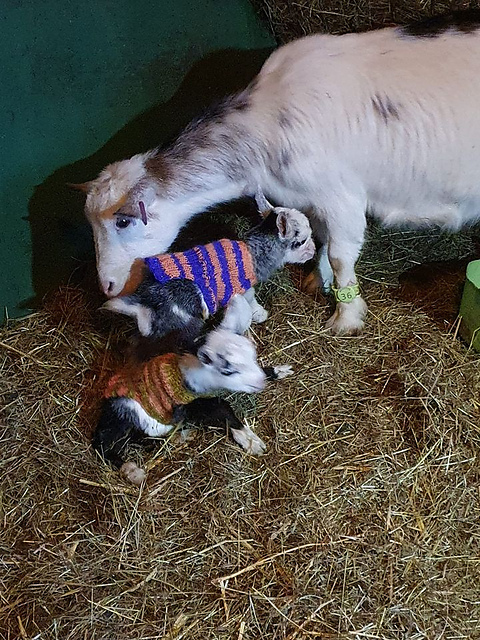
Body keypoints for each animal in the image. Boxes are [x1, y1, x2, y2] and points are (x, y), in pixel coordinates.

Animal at [93, 295, 292, 485]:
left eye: (253, 356)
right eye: (228, 371)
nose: (260, 383)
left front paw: (279, 371)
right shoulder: (194, 404)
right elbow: (224, 410)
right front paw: (251, 441)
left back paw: (181, 437)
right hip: (123, 415)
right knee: (104, 444)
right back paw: (132, 471)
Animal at [101, 197, 315, 339]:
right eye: (301, 241)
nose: (313, 252)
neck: (253, 252)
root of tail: (143, 307)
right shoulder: (242, 287)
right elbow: (251, 299)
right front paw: (260, 314)